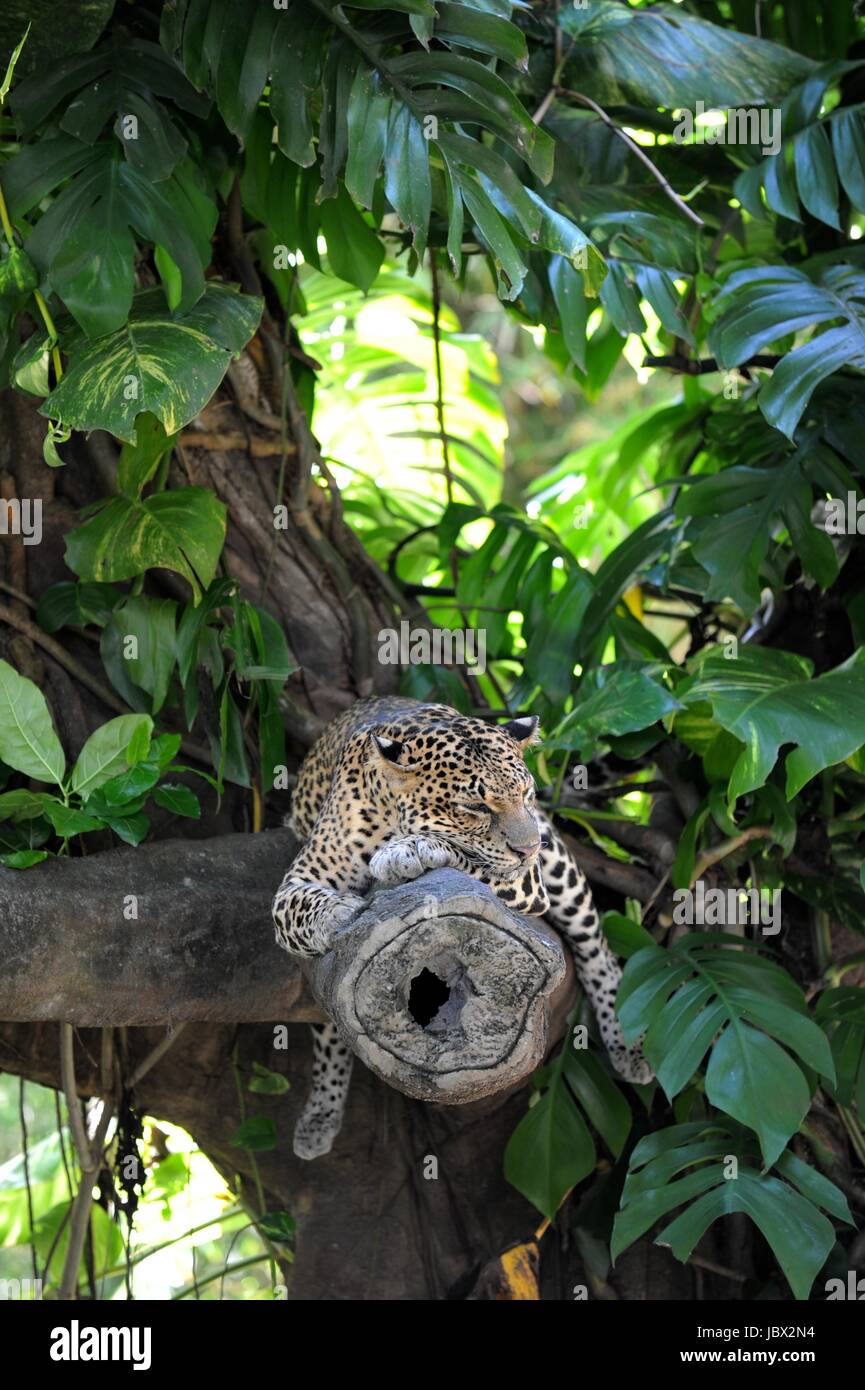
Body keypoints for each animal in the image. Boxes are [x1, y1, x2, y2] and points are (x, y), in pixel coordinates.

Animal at [272, 696, 652, 1159]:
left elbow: (467, 856)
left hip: (561, 870)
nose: (530, 848)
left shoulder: (524, 879)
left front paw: (411, 850)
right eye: (476, 807)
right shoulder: (296, 883)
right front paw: (340, 912)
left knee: (596, 946)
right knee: (329, 1024)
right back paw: (320, 1114)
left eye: (526, 794)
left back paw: (627, 1044)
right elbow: (300, 908)